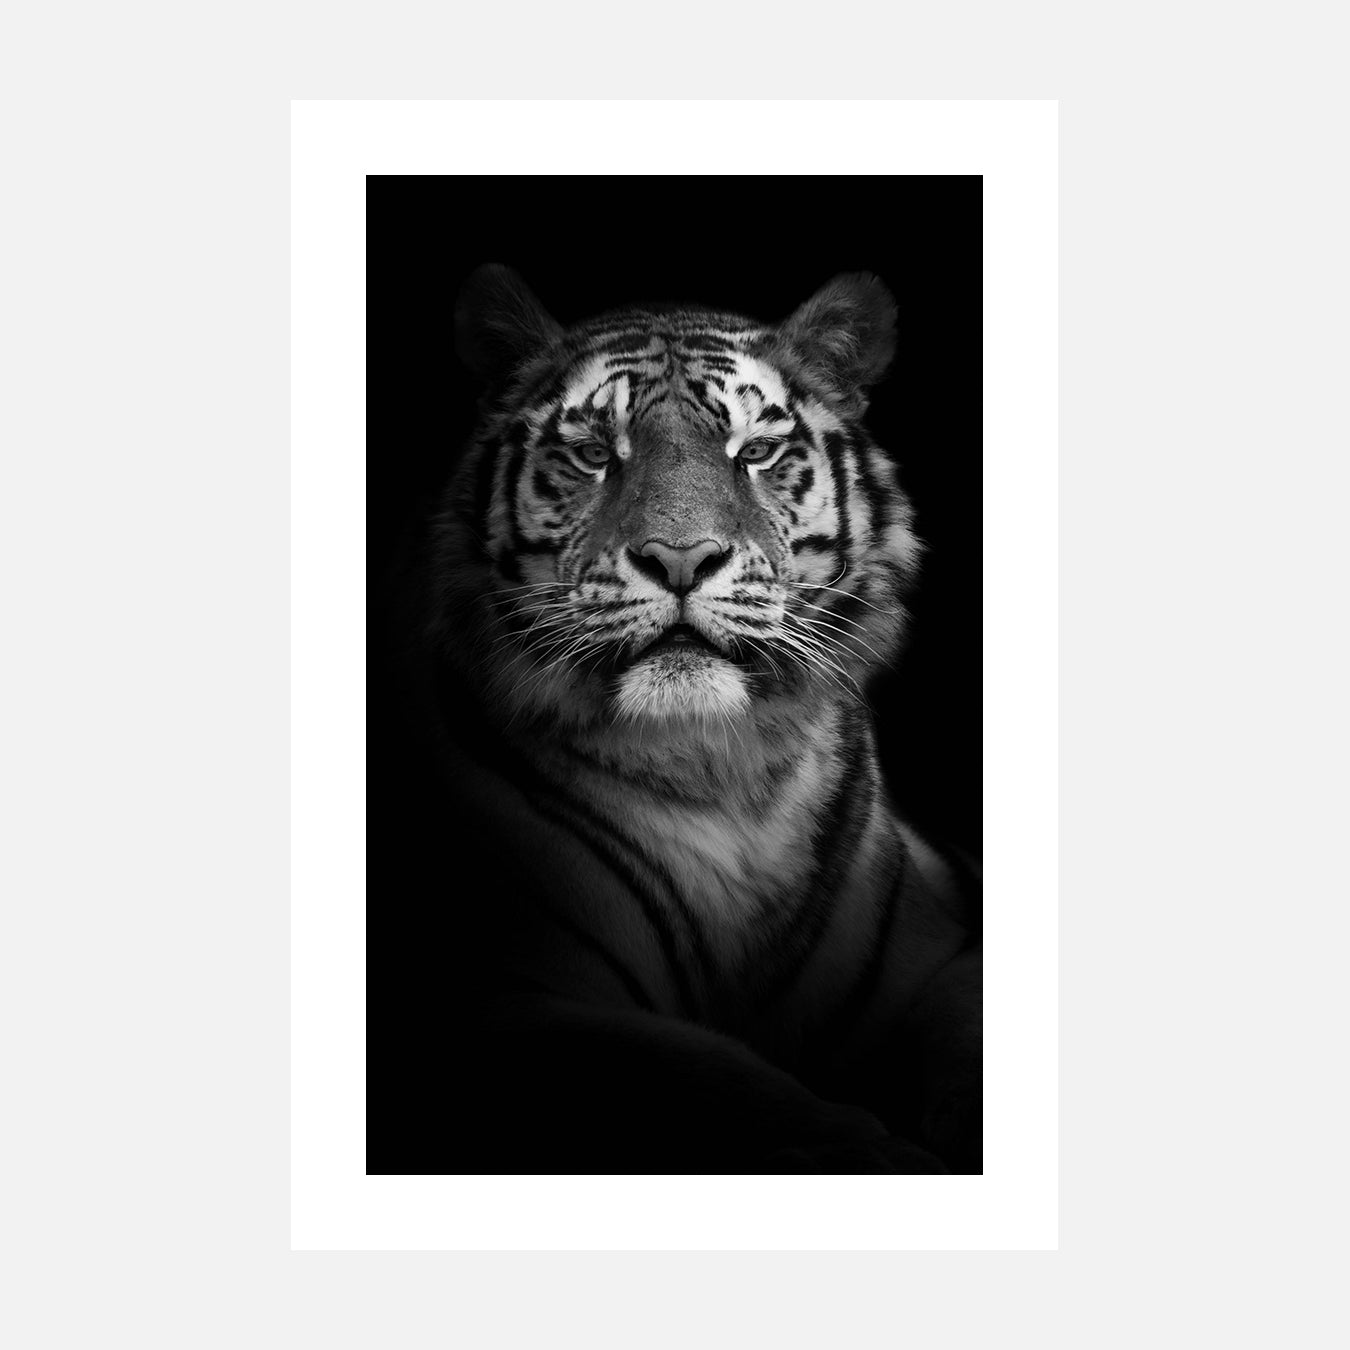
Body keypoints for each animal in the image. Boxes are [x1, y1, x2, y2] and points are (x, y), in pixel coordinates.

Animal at [411, 265, 982, 1174]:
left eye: (754, 452)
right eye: (594, 454)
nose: (680, 558)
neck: (721, 770)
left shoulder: (945, 948)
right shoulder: (506, 997)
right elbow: (728, 1086)